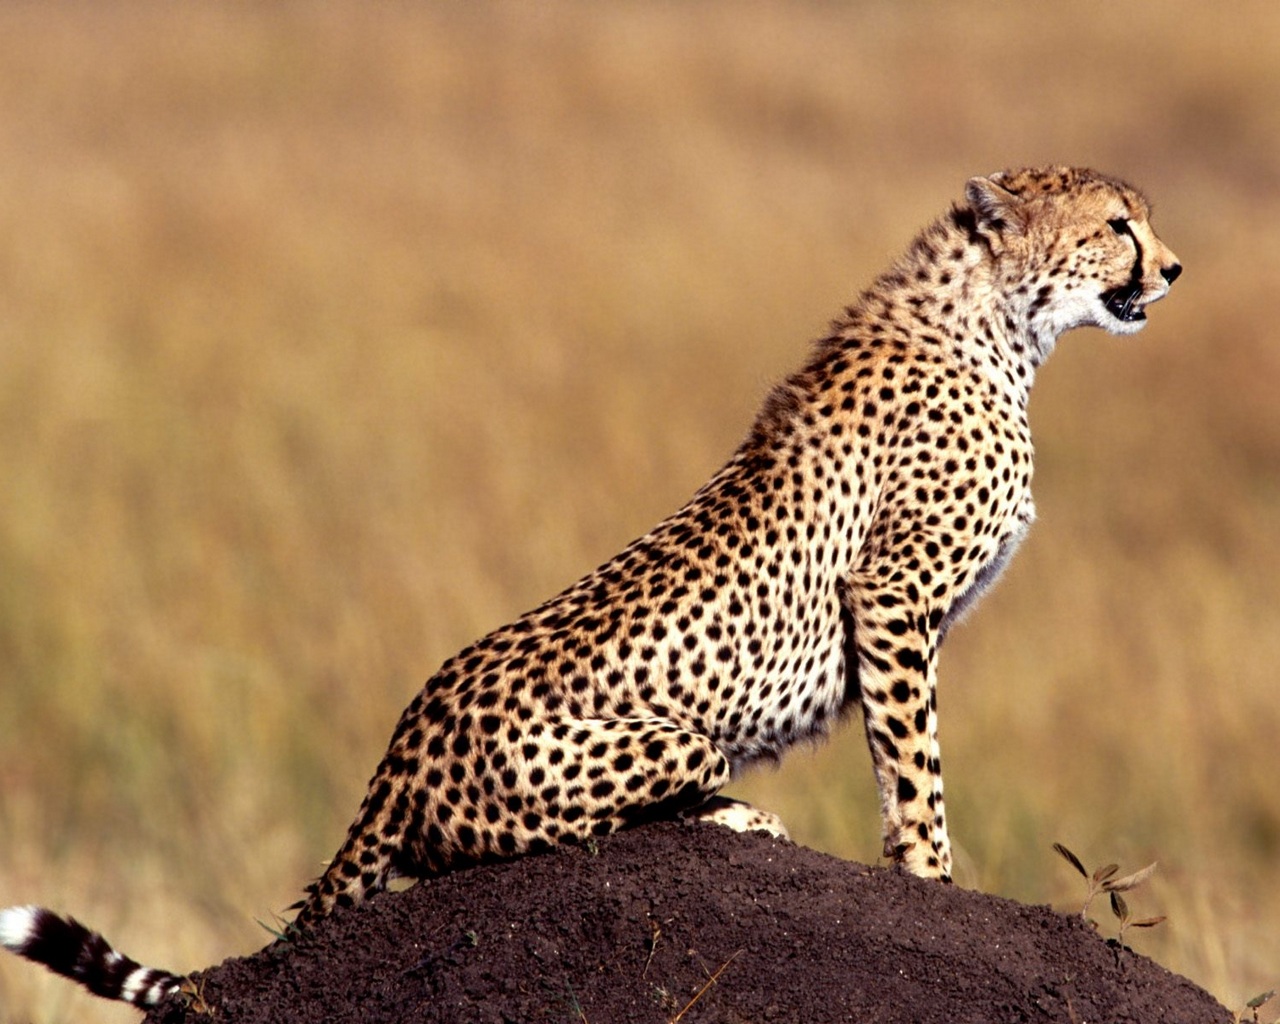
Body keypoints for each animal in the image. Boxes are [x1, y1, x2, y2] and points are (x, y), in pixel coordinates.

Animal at [1, 166, 1181, 1008]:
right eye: (1117, 223)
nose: (1172, 270)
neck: (998, 326)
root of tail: (403, 740)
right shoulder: (889, 595)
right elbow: (916, 765)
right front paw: (935, 883)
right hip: (660, 744)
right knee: (509, 846)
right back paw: (735, 817)